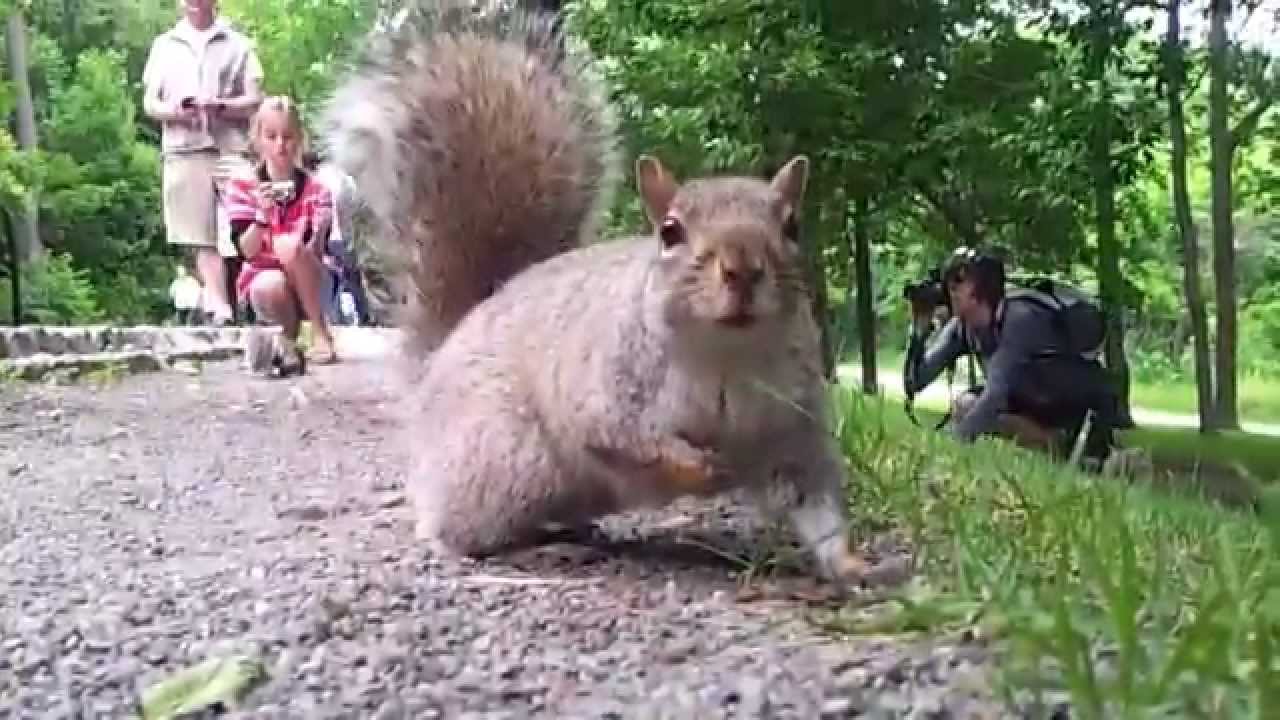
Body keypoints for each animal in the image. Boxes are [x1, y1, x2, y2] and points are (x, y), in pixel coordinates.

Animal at [319, 0, 882, 588]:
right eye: (670, 231)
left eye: (792, 226)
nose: (743, 269)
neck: (725, 355)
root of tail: (442, 354)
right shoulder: (605, 391)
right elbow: (623, 439)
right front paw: (701, 467)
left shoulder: (795, 426)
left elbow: (815, 501)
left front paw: (852, 564)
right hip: (503, 457)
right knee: (455, 522)